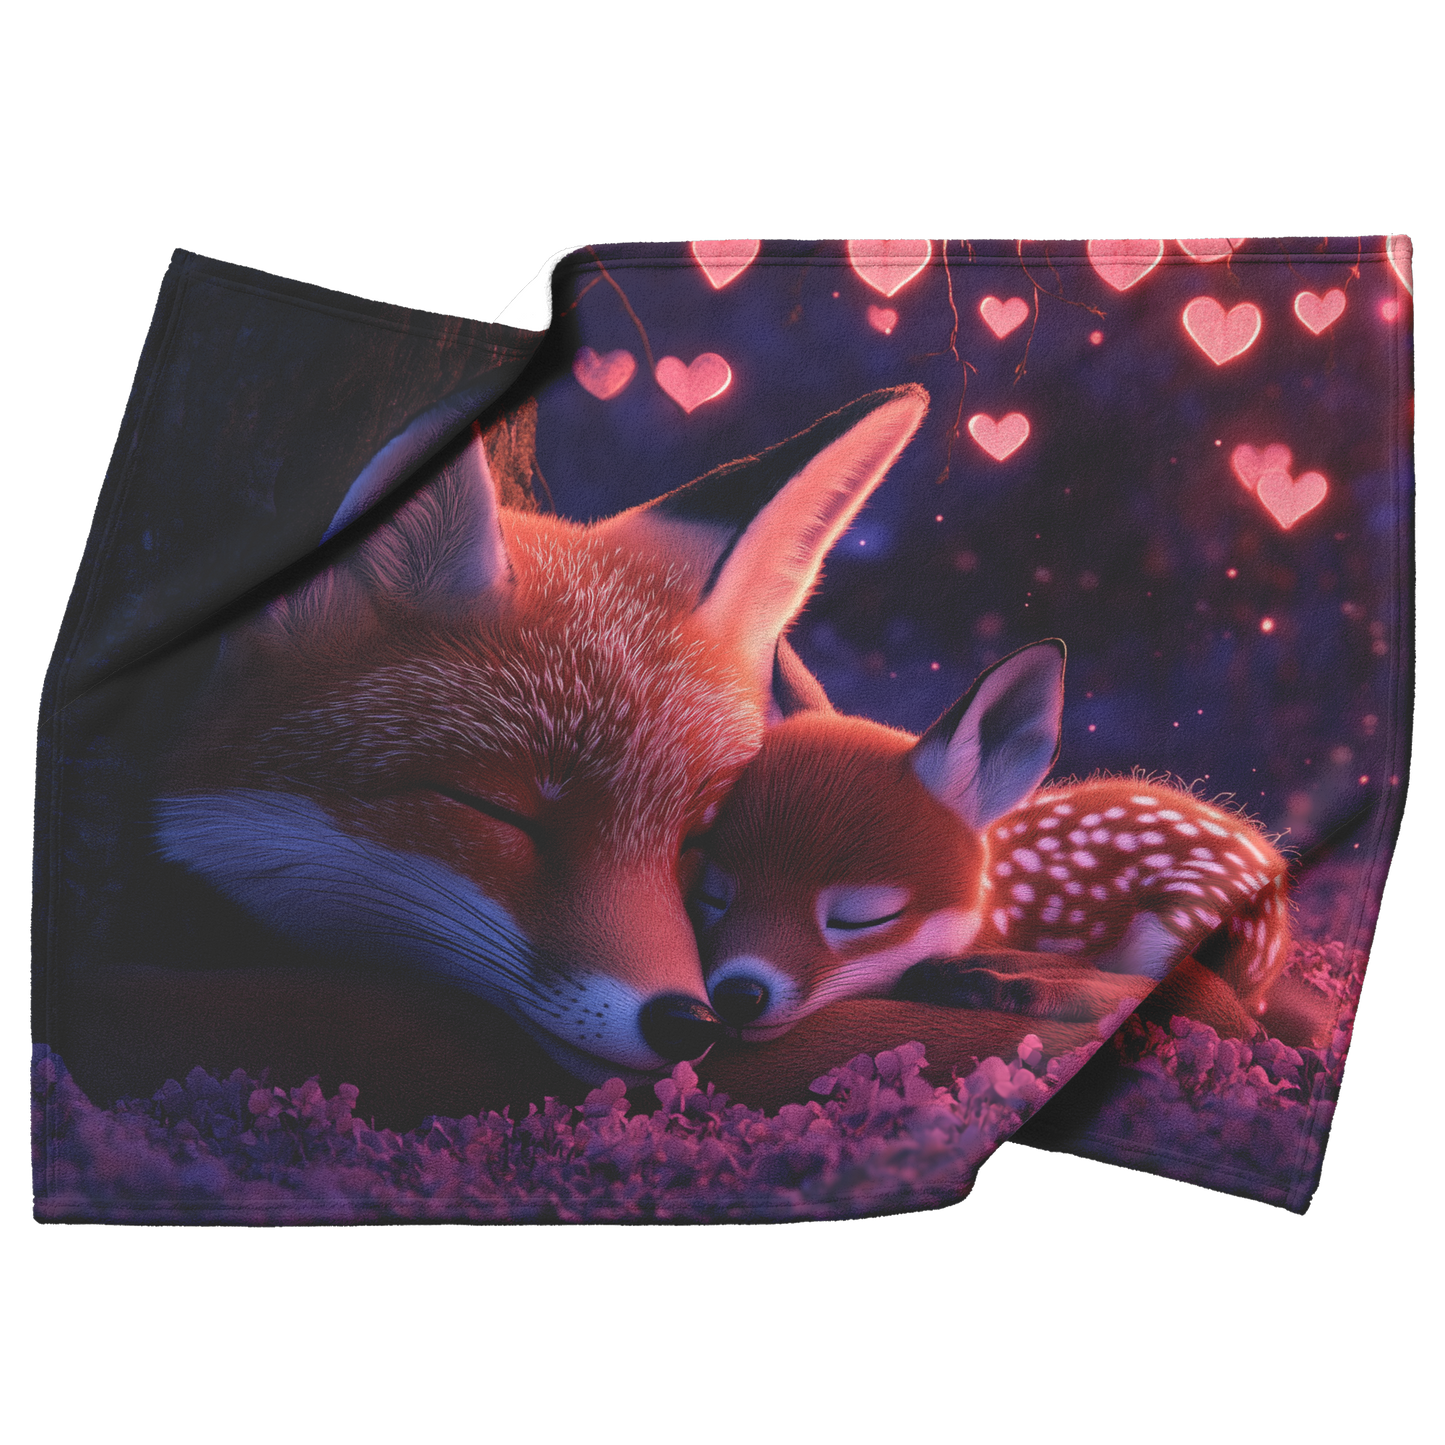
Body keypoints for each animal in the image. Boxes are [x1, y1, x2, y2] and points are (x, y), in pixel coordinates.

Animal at [692, 640, 1299, 1049]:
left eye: (862, 918)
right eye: (714, 896)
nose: (739, 994)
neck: (993, 911)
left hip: (1179, 921)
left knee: (1219, 1012)